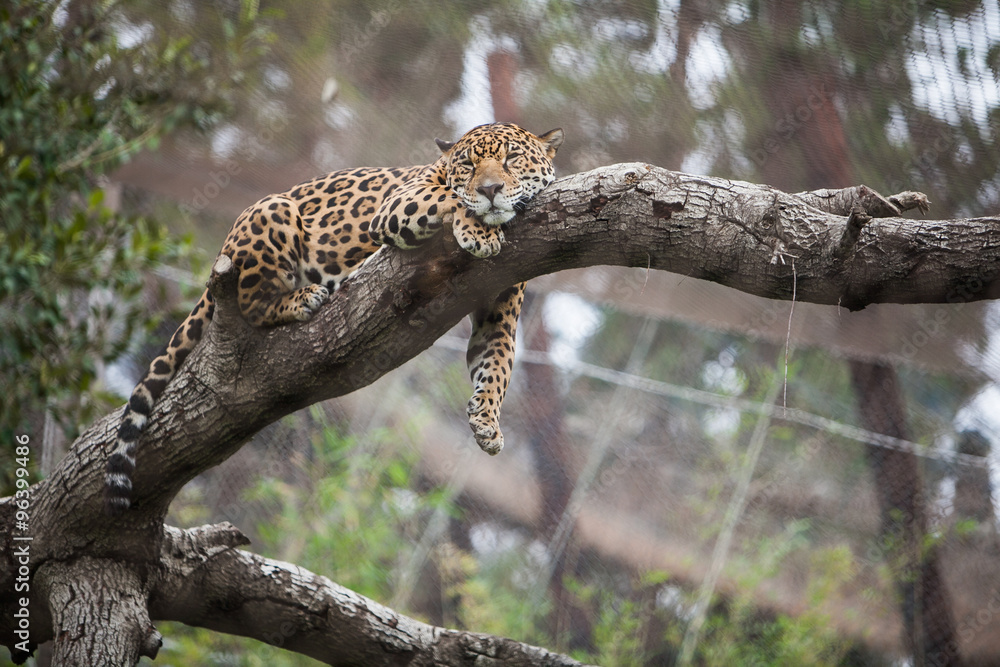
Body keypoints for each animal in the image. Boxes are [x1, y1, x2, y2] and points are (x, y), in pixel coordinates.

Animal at [105, 122, 564, 515]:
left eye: (512, 158)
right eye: (467, 165)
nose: (490, 189)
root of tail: (222, 250)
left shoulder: (498, 316)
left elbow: (497, 366)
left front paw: (487, 422)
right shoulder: (398, 204)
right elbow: (451, 198)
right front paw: (478, 228)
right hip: (272, 210)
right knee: (252, 304)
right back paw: (303, 297)